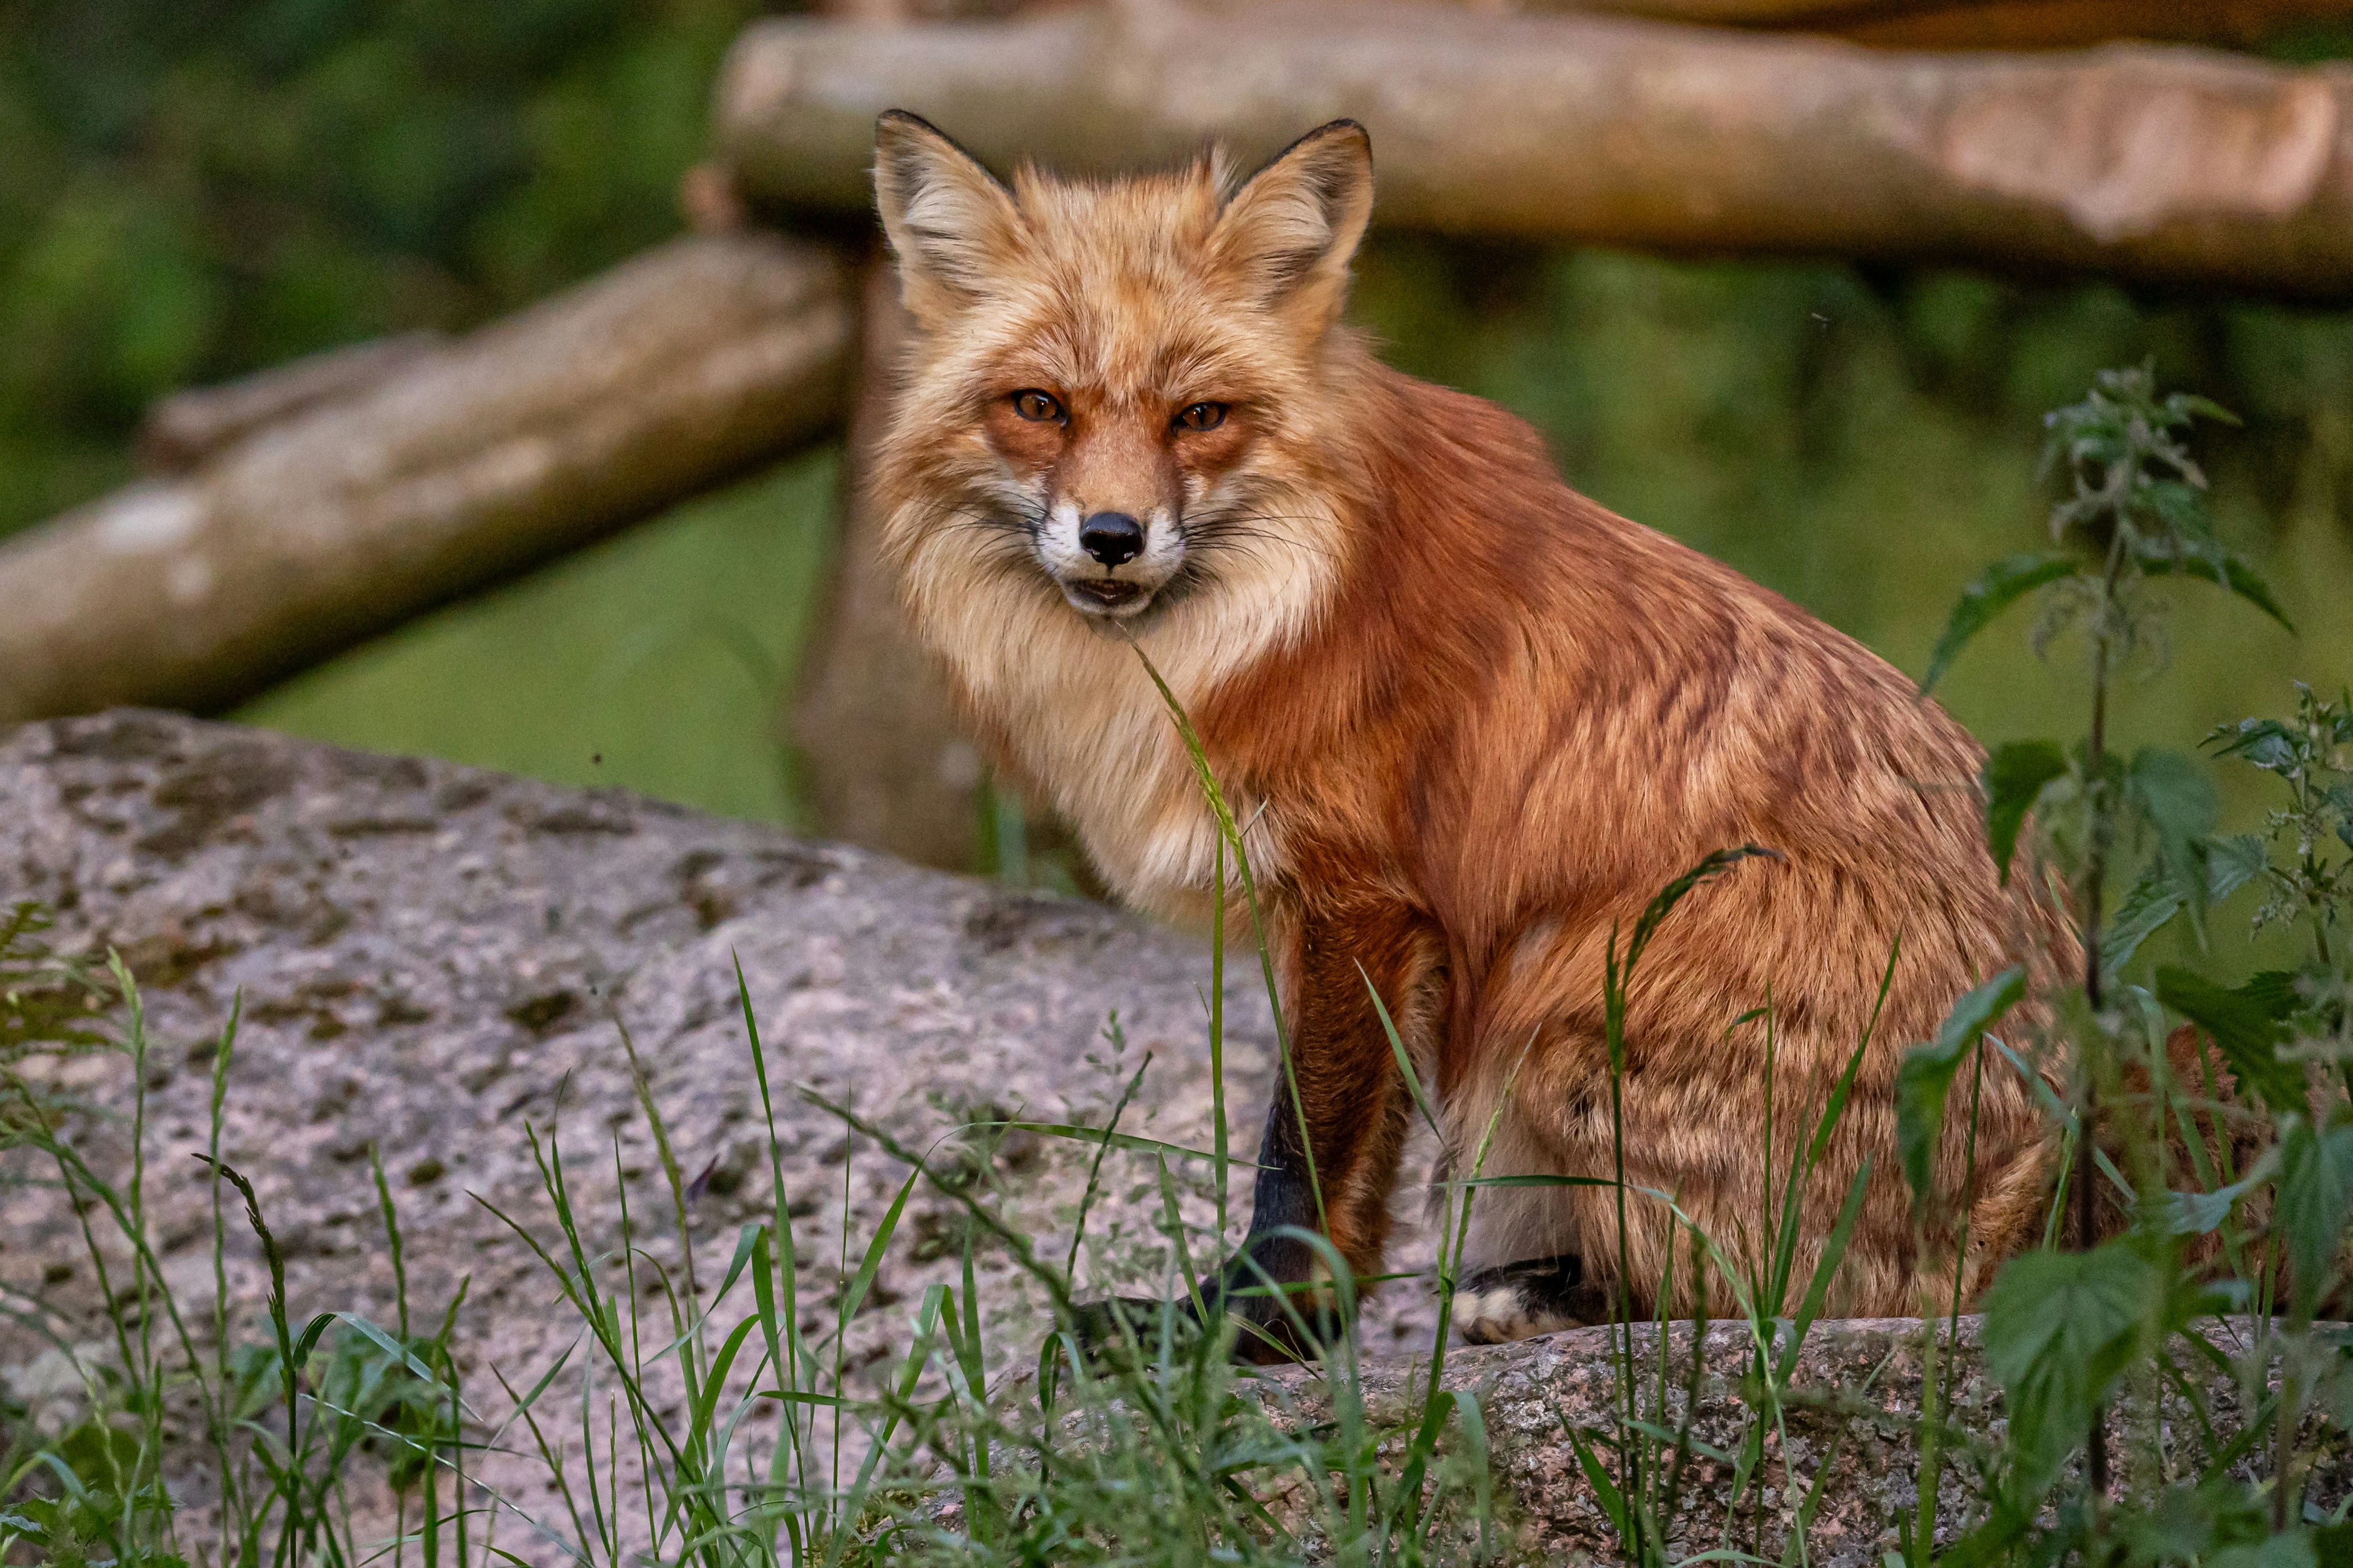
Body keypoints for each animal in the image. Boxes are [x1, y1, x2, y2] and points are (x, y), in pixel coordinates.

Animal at [866, 110, 2085, 1359]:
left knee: (1780, 1300)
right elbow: (1359, 1182)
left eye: (1199, 417)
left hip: (1566, 995)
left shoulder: (1363, 897)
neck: (1275, 610)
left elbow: (1301, 1158)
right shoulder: (1369, 931)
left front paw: (1249, 1328)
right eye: (1038, 406)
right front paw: (1312, 1326)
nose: (1112, 535)